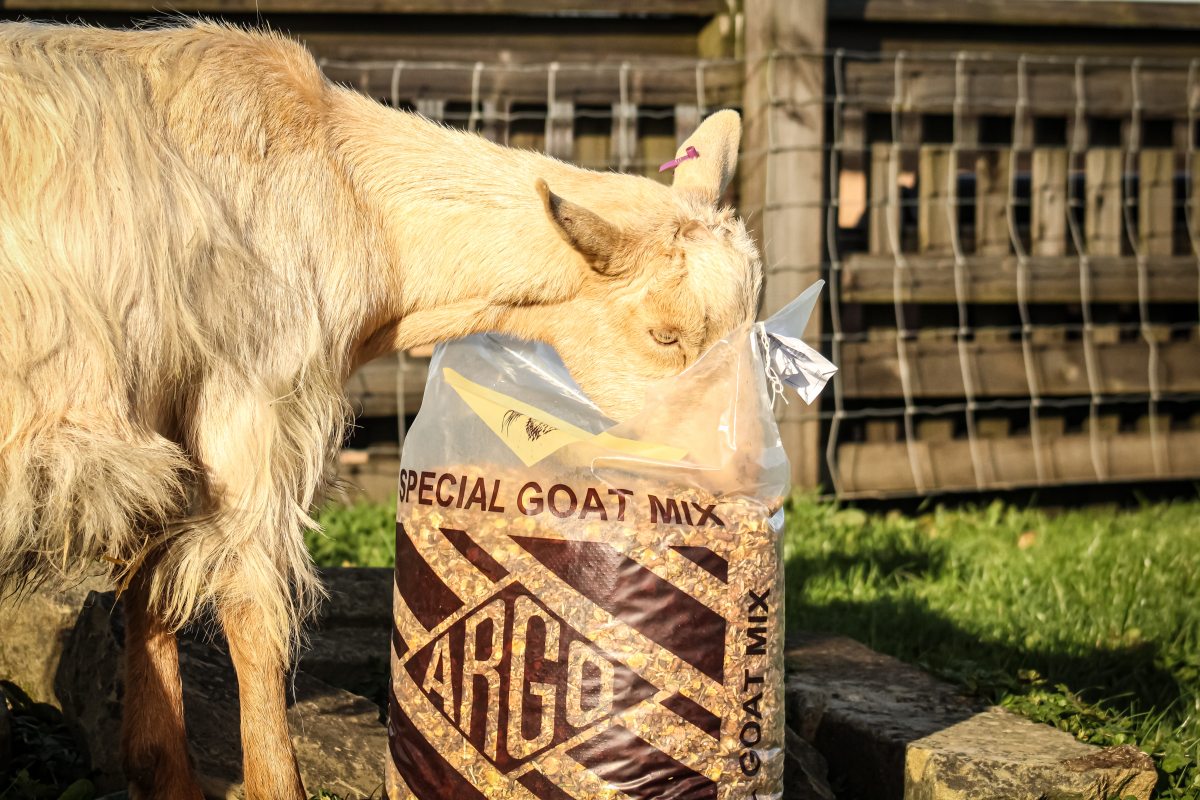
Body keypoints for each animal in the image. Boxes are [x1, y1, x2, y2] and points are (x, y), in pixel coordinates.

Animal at [0, 21, 761, 799]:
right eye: (664, 334)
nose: (740, 470)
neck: (351, 195)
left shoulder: (169, 411)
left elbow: (151, 588)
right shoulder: (250, 398)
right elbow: (251, 611)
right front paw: (277, 782)